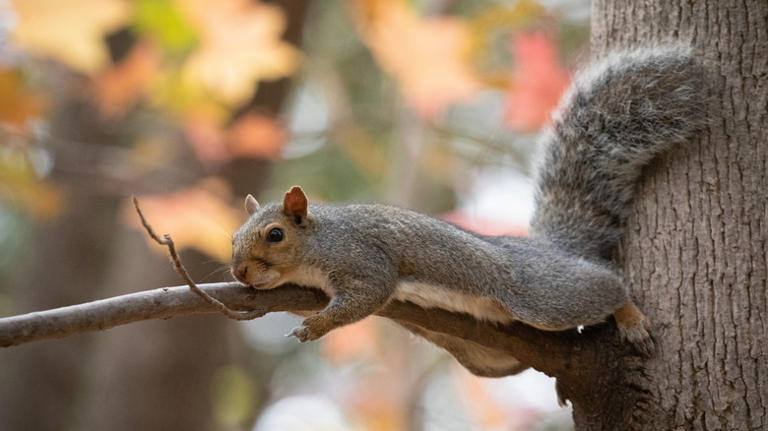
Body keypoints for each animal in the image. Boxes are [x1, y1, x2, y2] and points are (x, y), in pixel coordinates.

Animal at [230, 47, 704, 376]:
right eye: (233, 238)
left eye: (275, 234)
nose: (239, 272)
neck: (315, 244)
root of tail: (552, 249)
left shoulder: (360, 258)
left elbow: (367, 293)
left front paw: (314, 327)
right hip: (477, 351)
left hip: (541, 296)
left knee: (605, 286)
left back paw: (630, 316)